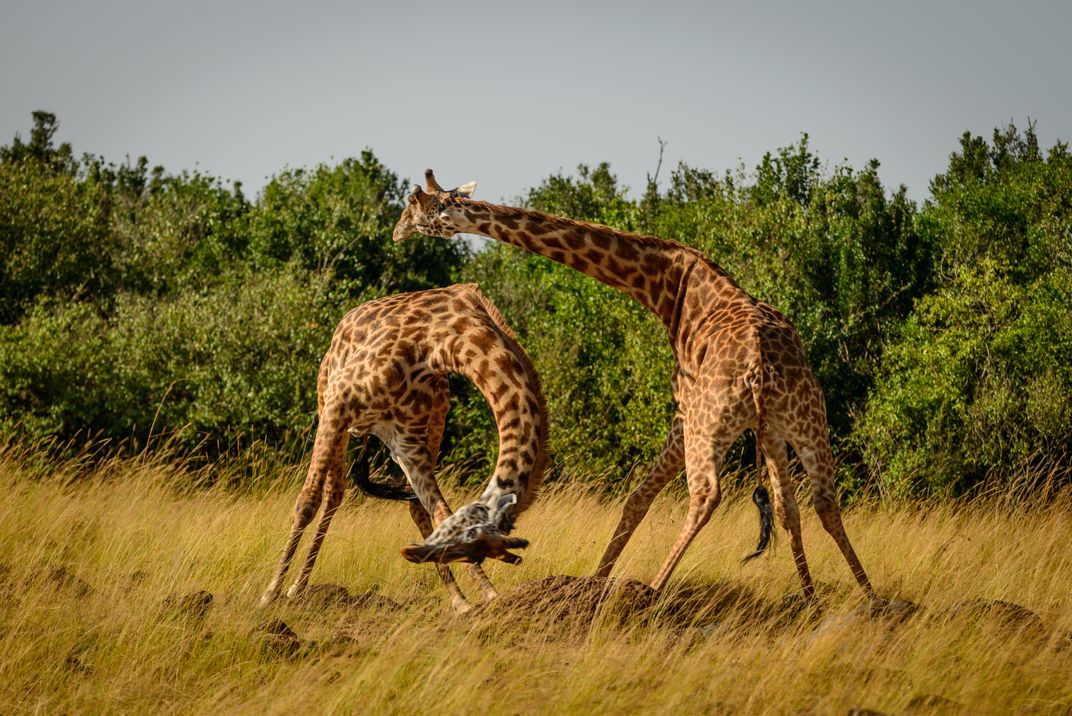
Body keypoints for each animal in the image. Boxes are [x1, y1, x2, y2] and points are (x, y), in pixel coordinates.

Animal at [260, 283, 548, 613]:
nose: (412, 553)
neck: (443, 344)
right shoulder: (339, 402)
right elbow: (307, 500)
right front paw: (269, 594)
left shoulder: (407, 443)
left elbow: (441, 512)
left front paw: (487, 597)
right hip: (327, 403)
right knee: (333, 493)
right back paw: (296, 587)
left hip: (429, 429)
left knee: (412, 505)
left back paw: (459, 600)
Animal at [392, 170, 873, 599]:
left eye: (415, 206)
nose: (397, 233)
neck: (672, 291)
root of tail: (757, 367)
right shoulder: (768, 428)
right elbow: (787, 509)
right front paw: (809, 596)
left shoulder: (683, 411)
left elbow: (637, 499)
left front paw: (597, 580)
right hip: (806, 419)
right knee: (824, 501)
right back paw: (868, 597)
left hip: (710, 424)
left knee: (705, 496)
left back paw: (654, 591)